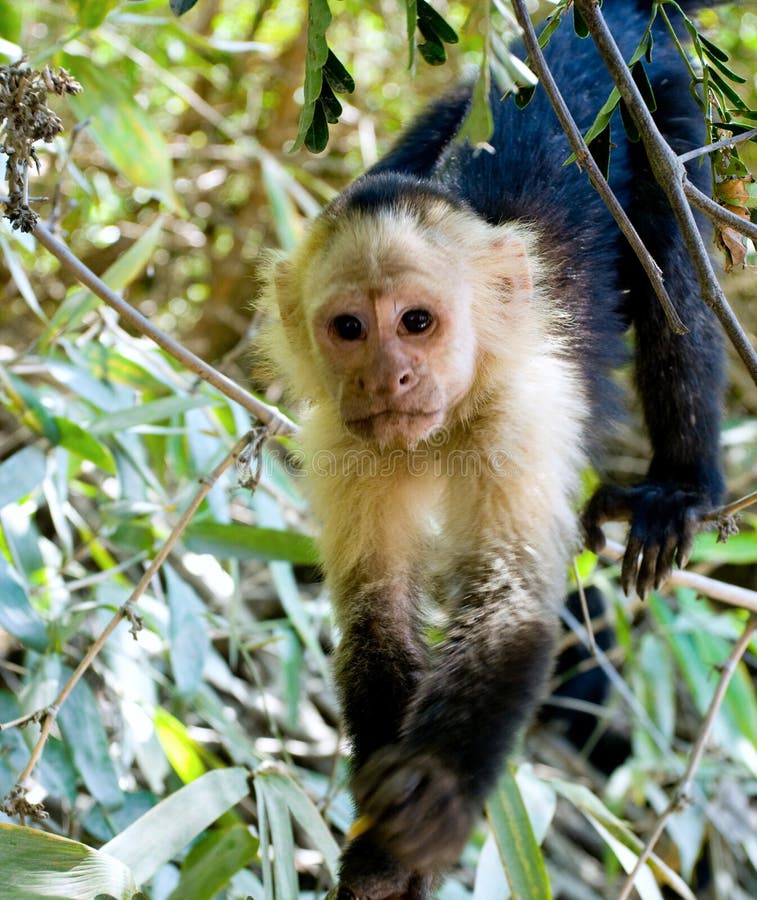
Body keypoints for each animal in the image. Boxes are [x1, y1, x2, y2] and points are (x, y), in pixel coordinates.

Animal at [256, 1, 726, 897]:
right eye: (348, 329)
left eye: (416, 322)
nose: (390, 377)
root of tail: (601, 25)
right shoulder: (341, 444)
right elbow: (377, 617)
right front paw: (379, 855)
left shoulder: (521, 415)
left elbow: (509, 610)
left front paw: (431, 801)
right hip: (458, 97)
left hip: (660, 101)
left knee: (673, 273)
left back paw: (680, 486)